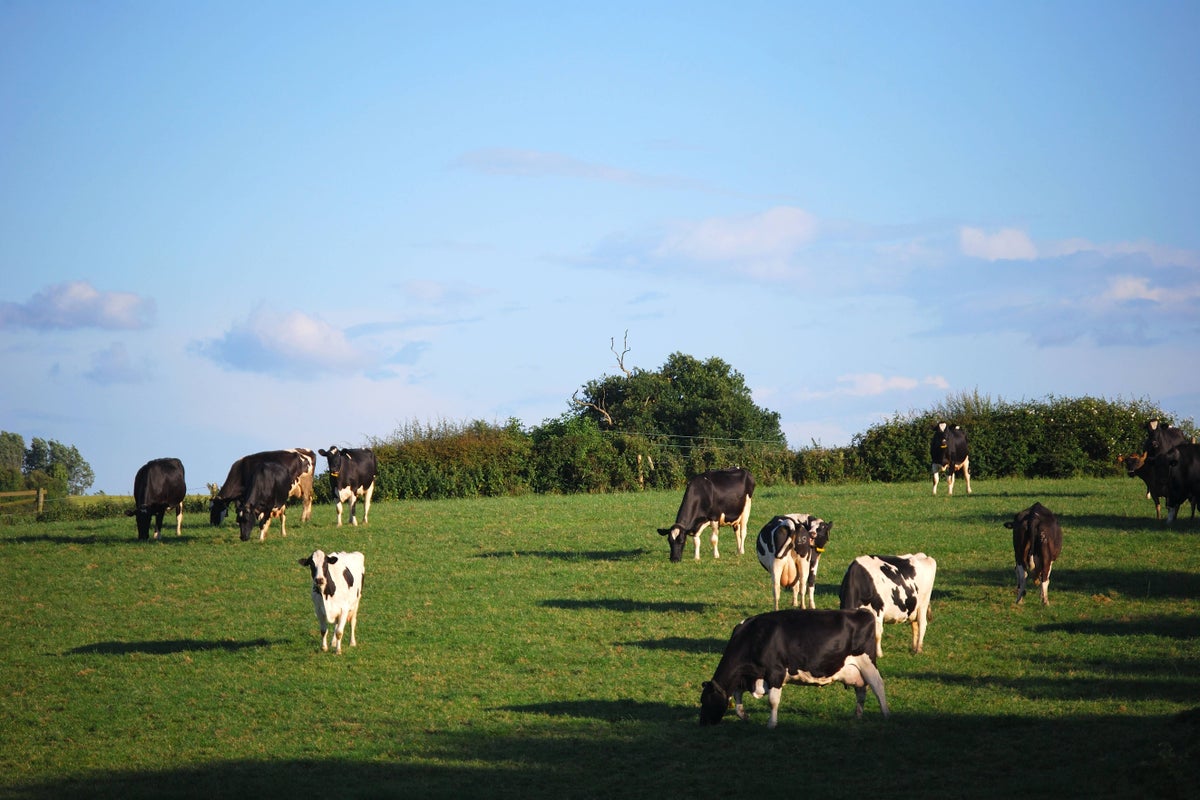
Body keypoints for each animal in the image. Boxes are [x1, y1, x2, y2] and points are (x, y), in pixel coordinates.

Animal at [699, 608, 889, 728]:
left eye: (705, 701)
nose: (703, 723)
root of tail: (862, 612)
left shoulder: (775, 672)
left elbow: (772, 701)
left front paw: (771, 724)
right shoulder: (749, 676)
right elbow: (737, 696)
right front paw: (744, 716)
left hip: (867, 661)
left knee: (878, 686)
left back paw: (886, 714)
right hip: (856, 670)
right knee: (861, 690)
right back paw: (857, 715)